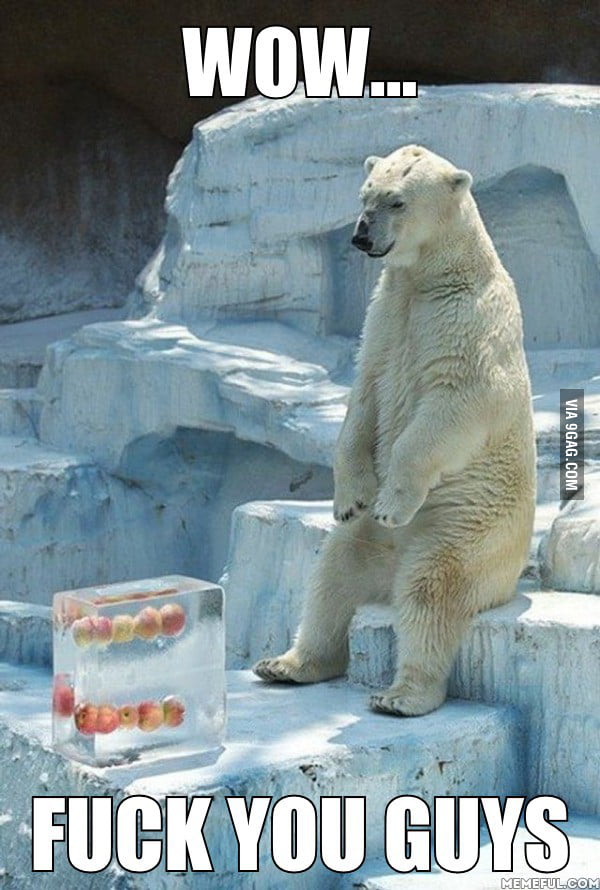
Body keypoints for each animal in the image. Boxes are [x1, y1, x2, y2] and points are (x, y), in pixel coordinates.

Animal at [253, 145, 536, 717]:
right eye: (364, 195)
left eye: (397, 201)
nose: (361, 236)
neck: (434, 277)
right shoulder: (386, 316)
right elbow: (364, 396)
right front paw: (351, 498)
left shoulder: (468, 322)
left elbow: (457, 404)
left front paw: (388, 501)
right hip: (372, 547)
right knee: (332, 573)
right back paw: (288, 663)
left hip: (469, 528)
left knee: (434, 586)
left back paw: (402, 695)